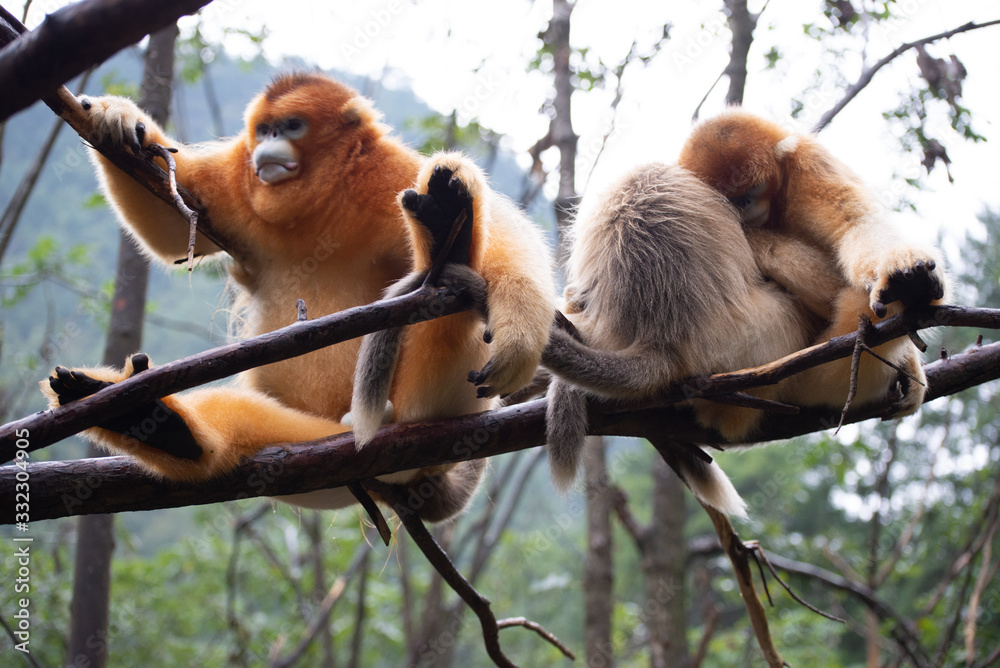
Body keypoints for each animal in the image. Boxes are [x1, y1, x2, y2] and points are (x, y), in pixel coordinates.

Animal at [40, 73, 555, 523]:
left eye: (290, 127)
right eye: (264, 130)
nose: (268, 147)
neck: (321, 204)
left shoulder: (391, 171)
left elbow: (508, 237)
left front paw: (520, 328)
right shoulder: (237, 179)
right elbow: (171, 229)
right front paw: (119, 115)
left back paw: (453, 225)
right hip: (313, 450)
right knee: (240, 428)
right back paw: (145, 418)